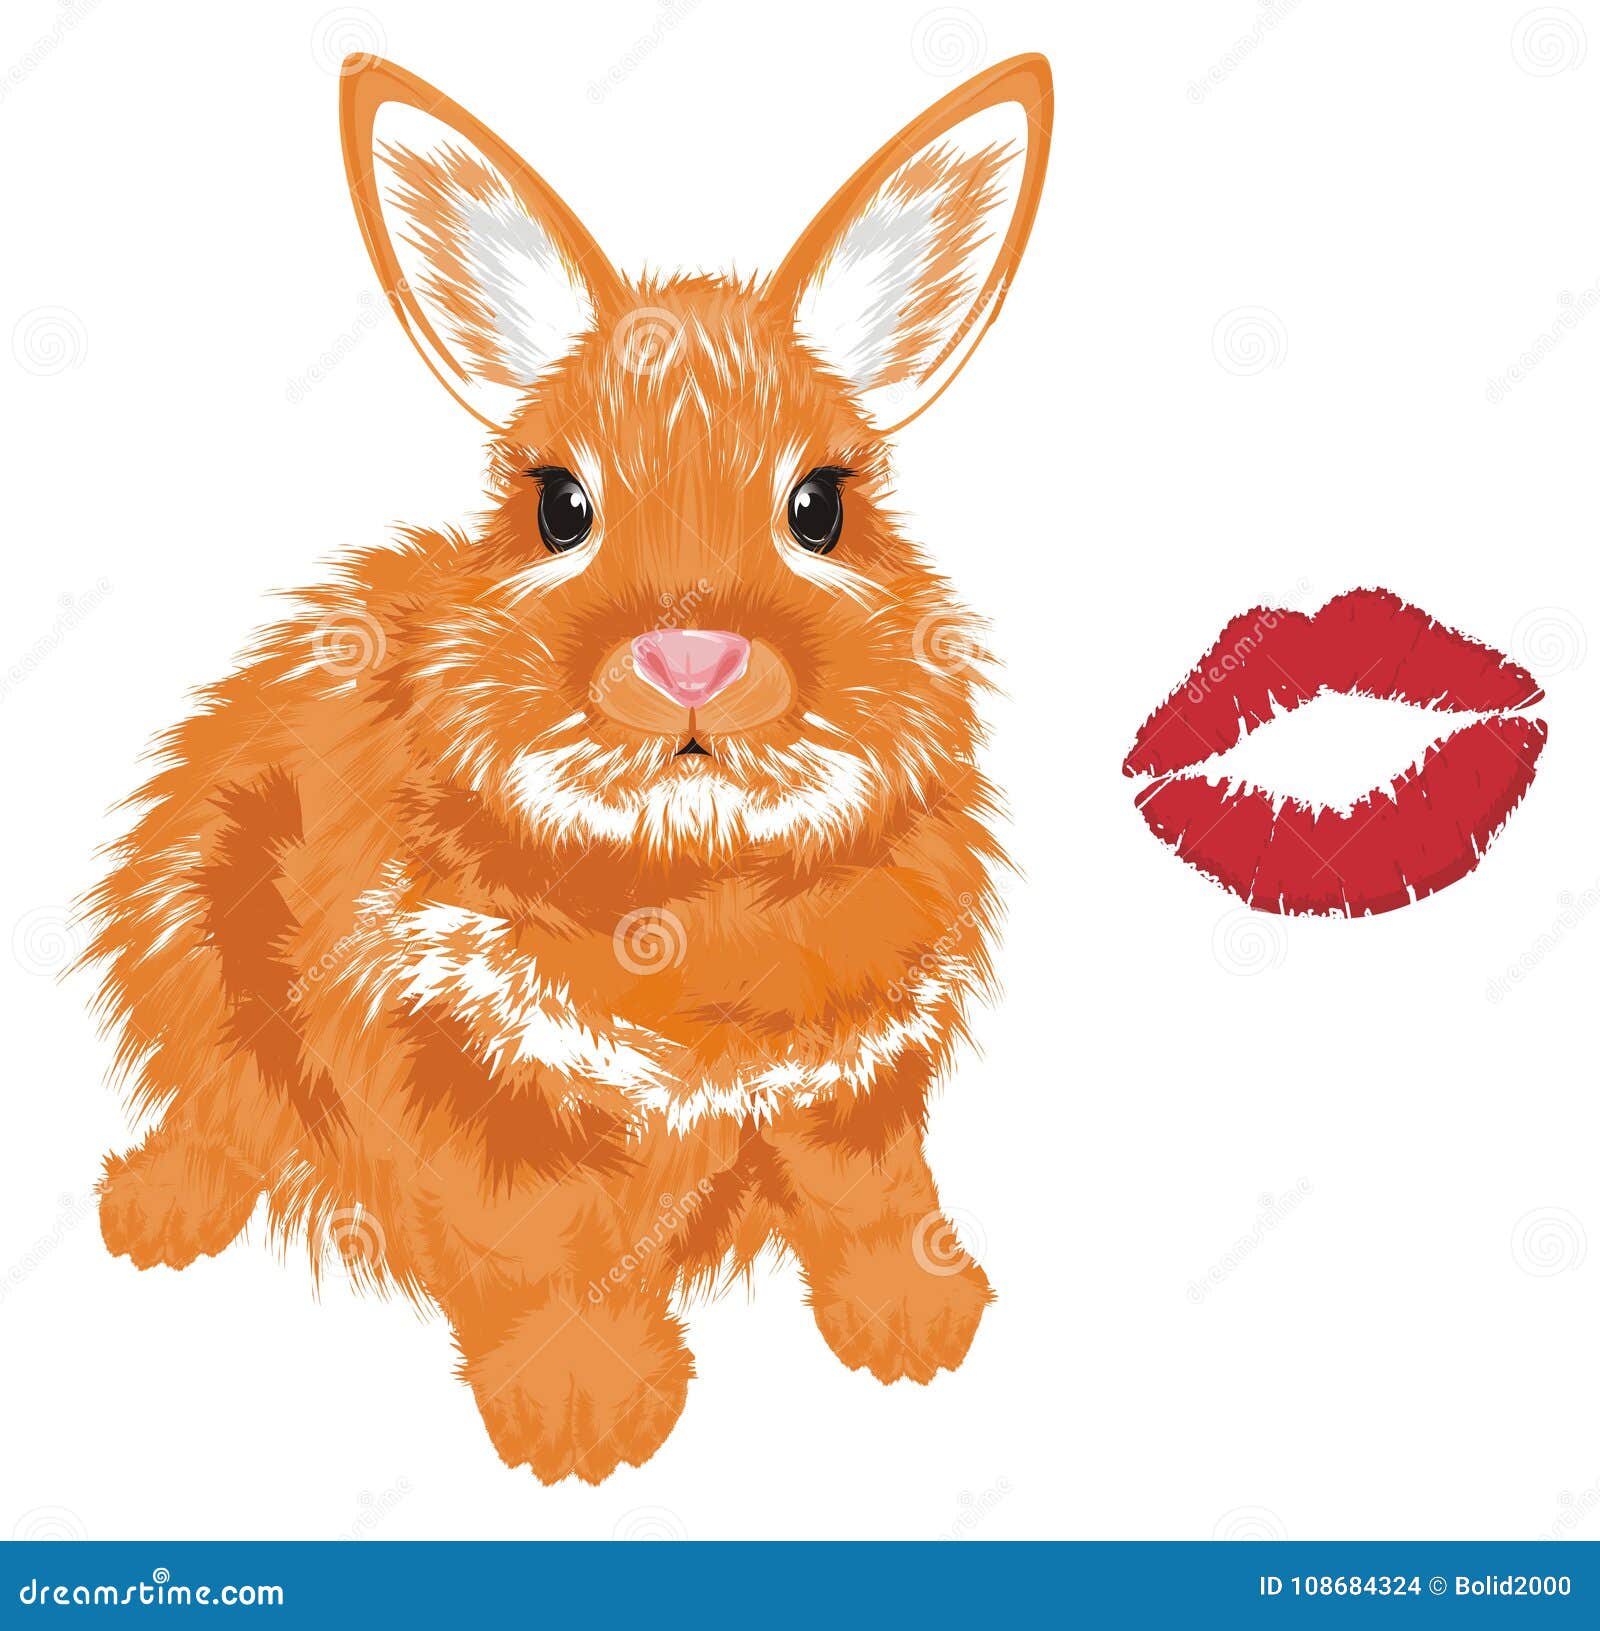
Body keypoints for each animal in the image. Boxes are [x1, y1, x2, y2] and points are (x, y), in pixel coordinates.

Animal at [82, 52, 1052, 1485]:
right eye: (559, 505)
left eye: (820, 505)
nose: (692, 660)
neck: (693, 877)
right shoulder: (479, 1095)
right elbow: (546, 1260)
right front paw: (584, 1421)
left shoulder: (855, 1089)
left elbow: (872, 1198)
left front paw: (917, 1327)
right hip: (192, 941)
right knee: (220, 1101)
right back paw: (154, 1212)